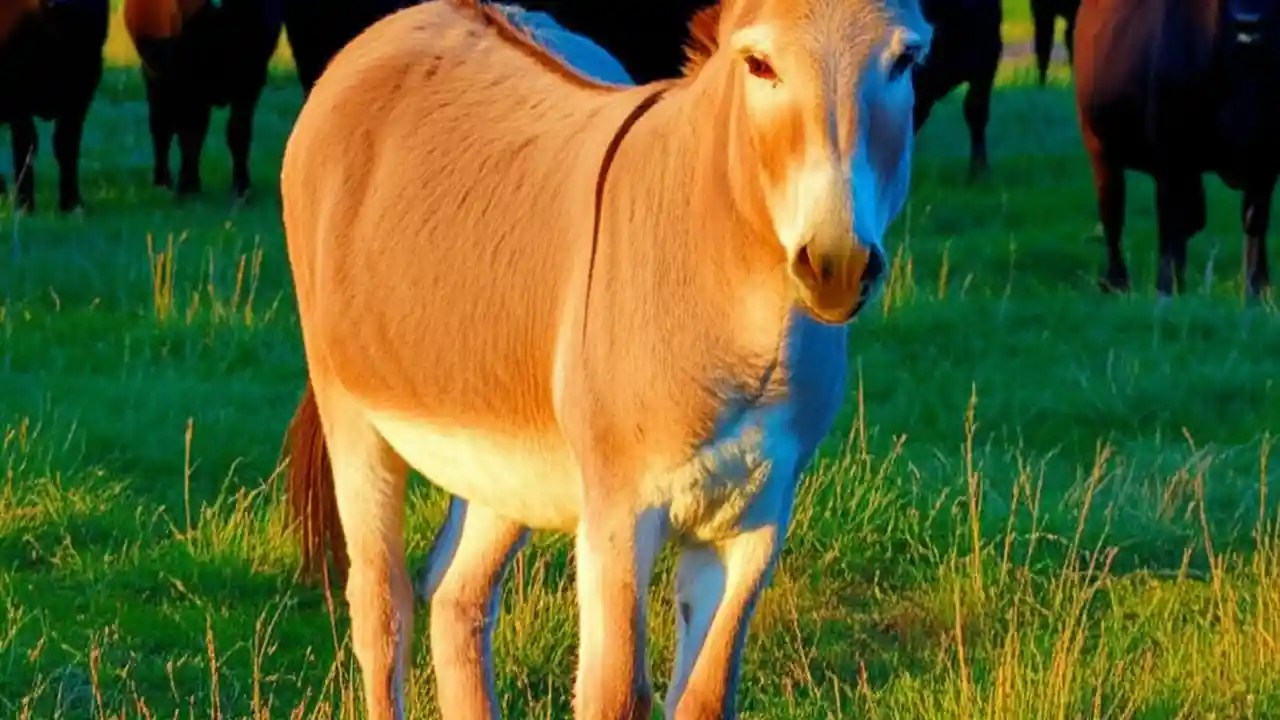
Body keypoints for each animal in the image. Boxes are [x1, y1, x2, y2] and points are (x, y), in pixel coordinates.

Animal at [0, 0, 108, 213]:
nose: (57, 3)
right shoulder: (16, 92)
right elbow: (26, 144)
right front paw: (25, 204)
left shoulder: (81, 93)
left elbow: (66, 145)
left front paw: (72, 203)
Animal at [123, 0, 283, 200]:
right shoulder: (188, 81)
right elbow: (189, 133)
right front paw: (187, 186)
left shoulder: (250, 78)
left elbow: (237, 131)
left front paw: (241, 186)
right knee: (162, 128)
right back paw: (163, 181)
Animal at [1075, 0, 1279, 298]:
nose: (1248, 21)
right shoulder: (1171, 160)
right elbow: (1170, 228)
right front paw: (1166, 290)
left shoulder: (1264, 164)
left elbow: (1255, 226)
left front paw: (1257, 292)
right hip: (1100, 149)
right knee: (1113, 216)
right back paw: (1117, 283)